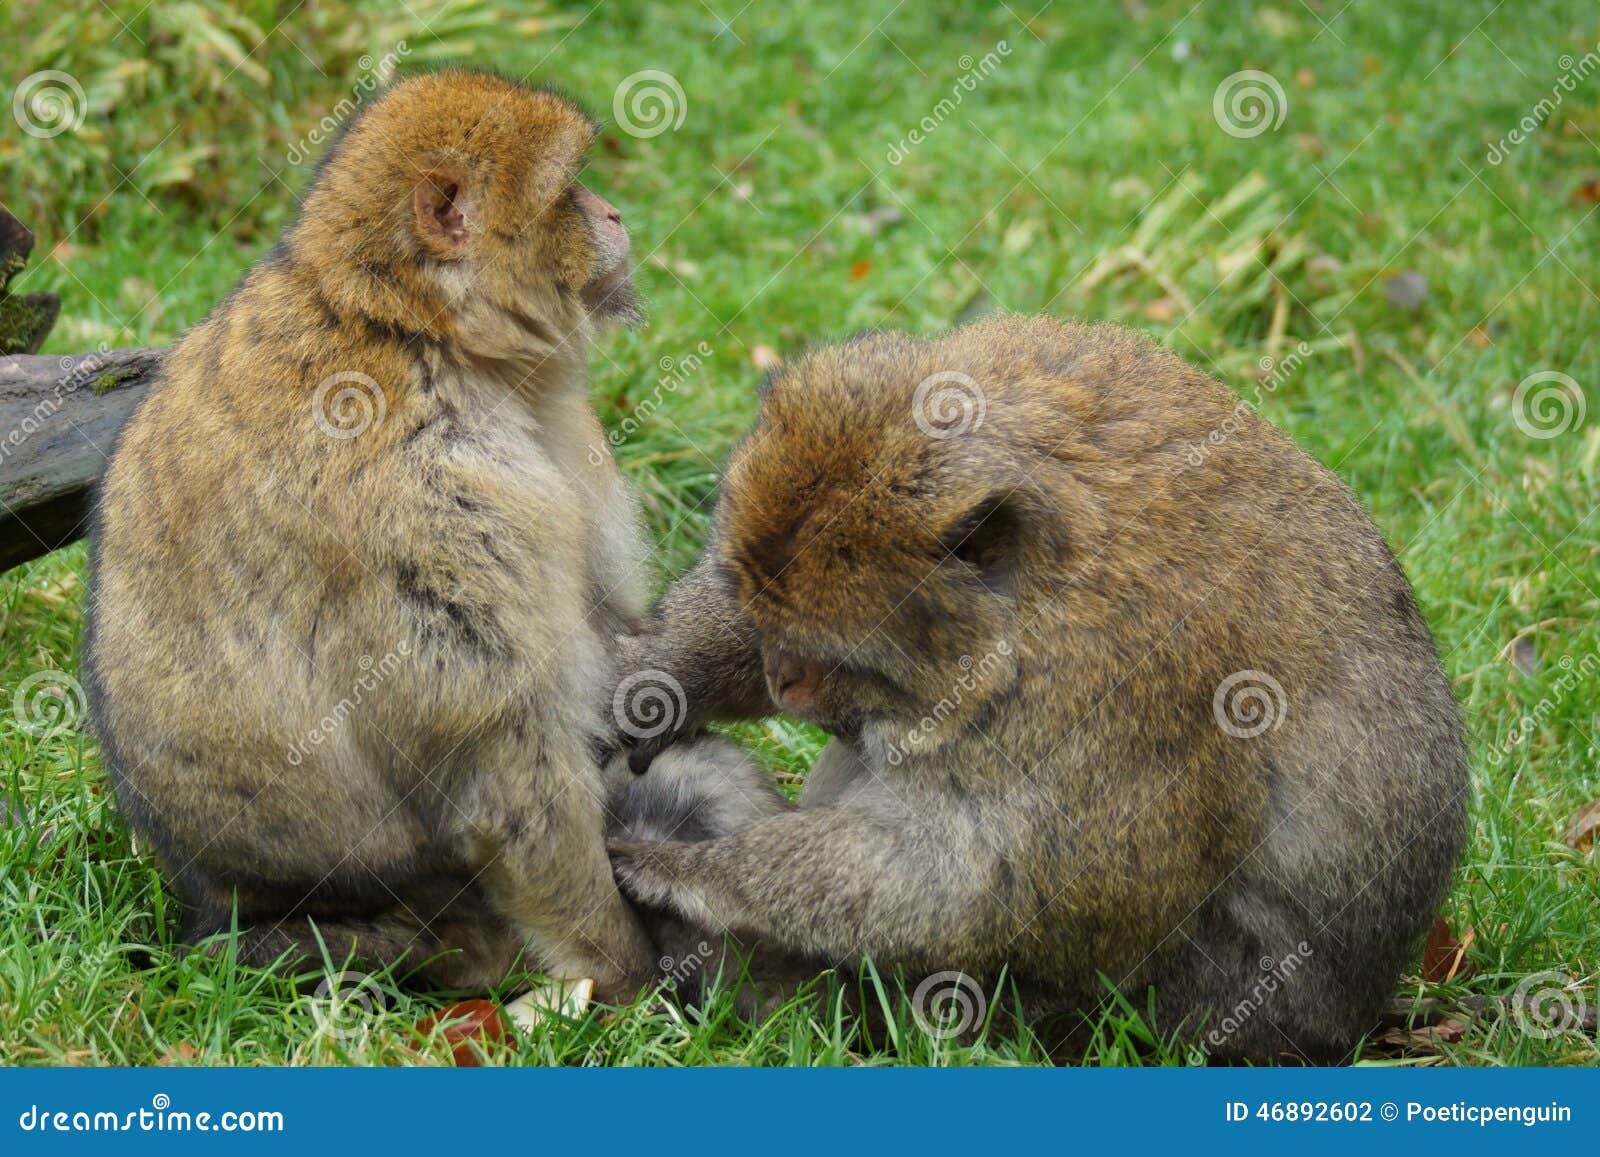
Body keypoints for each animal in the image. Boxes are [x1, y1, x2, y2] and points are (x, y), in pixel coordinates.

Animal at [84, 70, 686, 1001]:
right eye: (569, 193)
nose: (616, 214)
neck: (412, 326)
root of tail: (216, 891)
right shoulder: (424, 492)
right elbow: (505, 764)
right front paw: (625, 974)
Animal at [607, 316, 1468, 1062]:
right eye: (762, 613)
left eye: (835, 654)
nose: (782, 676)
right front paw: (650, 690)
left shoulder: (1105, 684)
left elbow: (999, 889)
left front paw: (699, 874)